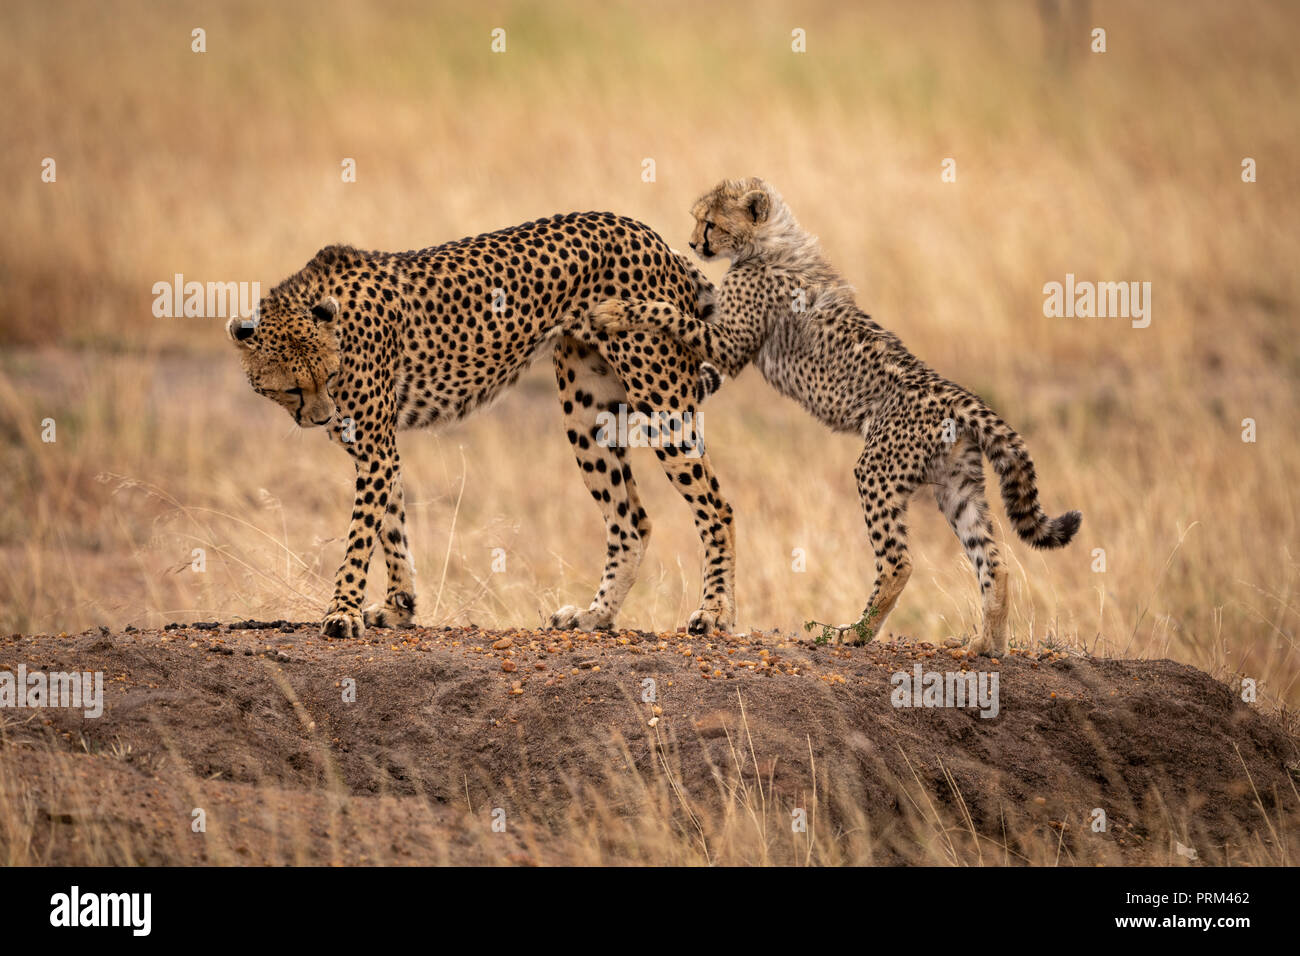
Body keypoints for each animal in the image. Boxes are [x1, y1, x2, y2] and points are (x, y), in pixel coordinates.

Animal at [226, 211, 735, 640]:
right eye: (292, 388)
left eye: (328, 377)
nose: (322, 419)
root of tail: (648, 233)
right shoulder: (378, 450)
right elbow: (391, 525)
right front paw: (399, 607)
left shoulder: (374, 448)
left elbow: (360, 536)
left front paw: (342, 612)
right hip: (587, 411)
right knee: (631, 522)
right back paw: (595, 616)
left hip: (662, 401)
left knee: (717, 507)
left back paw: (715, 613)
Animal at [586, 178, 1081, 656]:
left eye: (709, 223)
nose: (693, 243)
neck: (768, 242)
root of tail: (954, 393)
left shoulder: (729, 341)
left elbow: (669, 313)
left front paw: (616, 308)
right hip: (957, 484)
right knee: (994, 562)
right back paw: (988, 644)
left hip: (878, 470)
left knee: (899, 561)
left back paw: (856, 632)